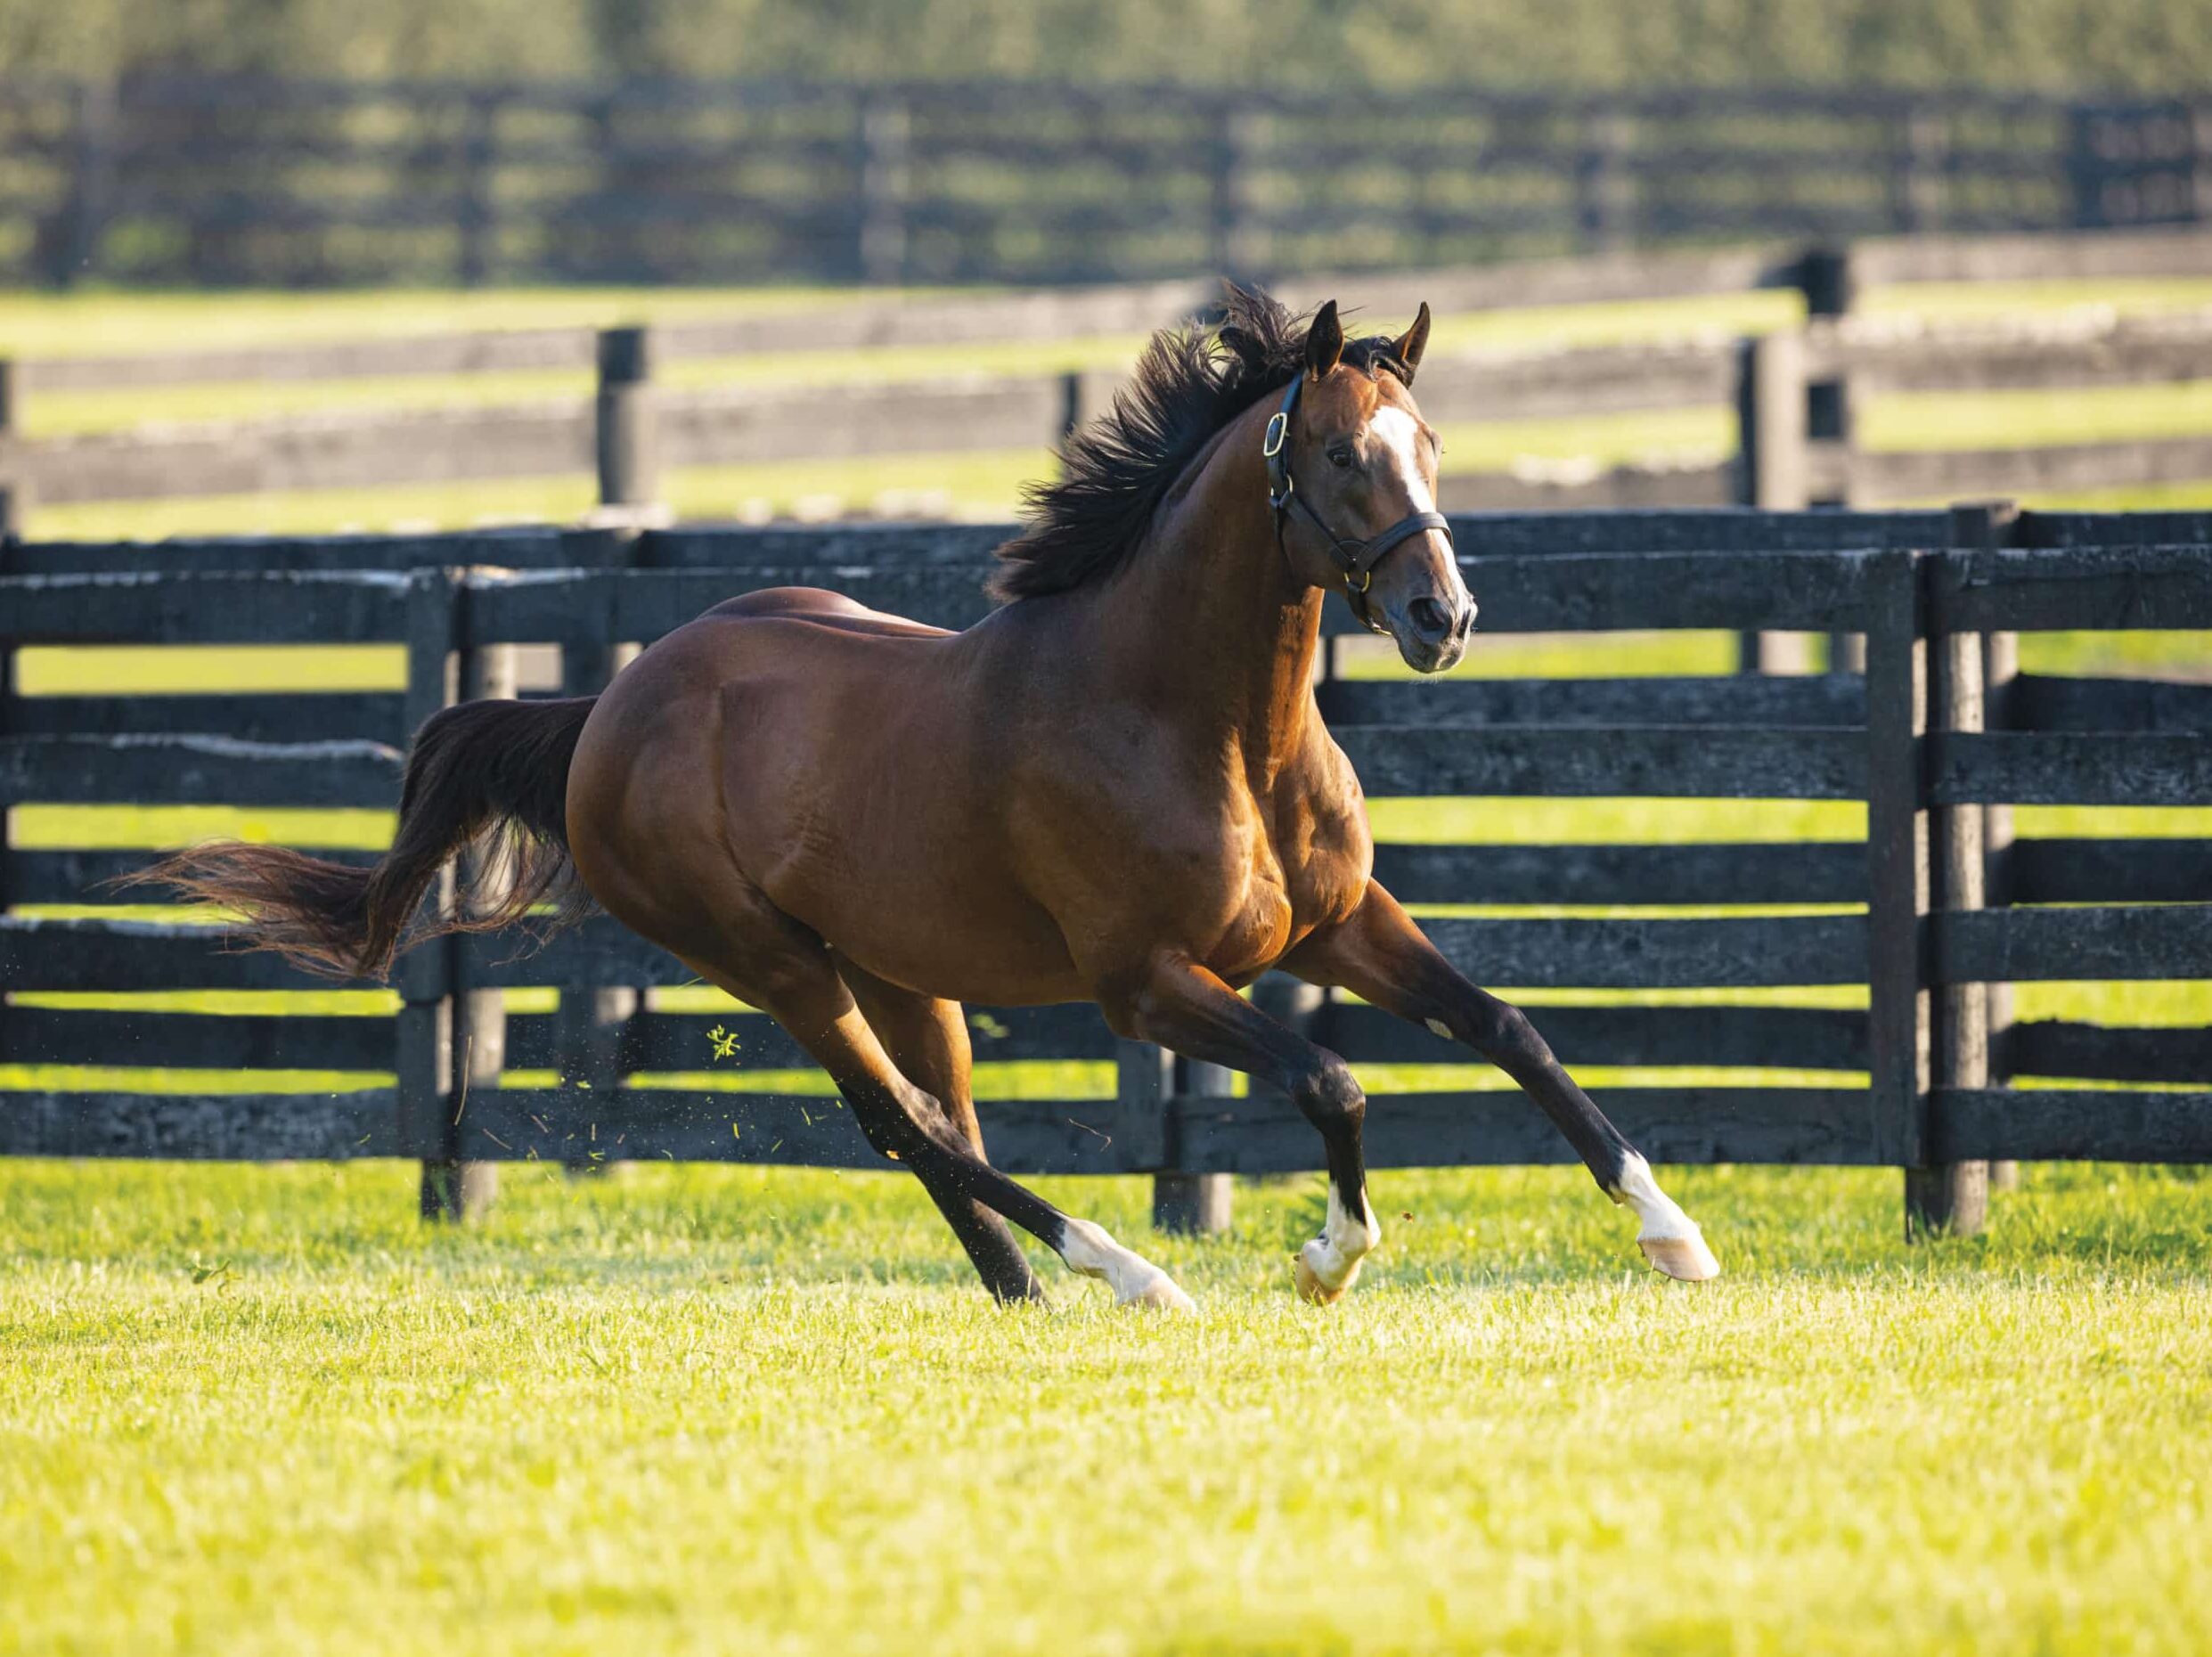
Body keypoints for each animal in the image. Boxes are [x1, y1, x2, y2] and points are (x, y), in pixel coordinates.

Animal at [136, 286, 1720, 1309]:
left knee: (935, 1123)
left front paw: (1672, 1234)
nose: (1442, 617)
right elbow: (1332, 1081)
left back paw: (1027, 1287)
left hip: (900, 968)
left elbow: (1504, 1027)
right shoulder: (1147, 982)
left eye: (1430, 445)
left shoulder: (1335, 927)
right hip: (768, 960)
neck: (1192, 719)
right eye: (1339, 452)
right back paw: (1123, 1273)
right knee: (901, 1125)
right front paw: (1326, 1261)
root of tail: (608, 712)